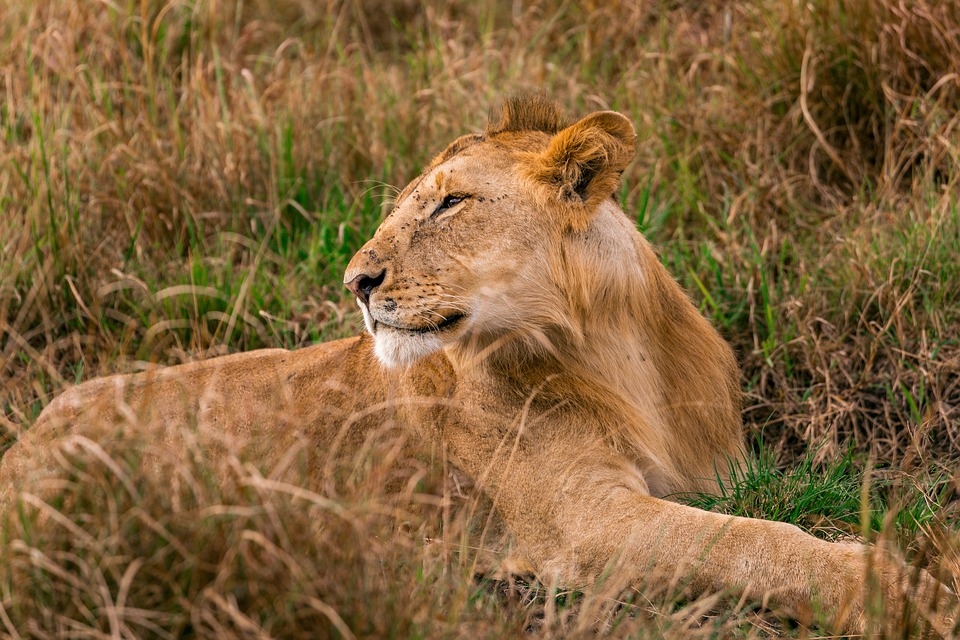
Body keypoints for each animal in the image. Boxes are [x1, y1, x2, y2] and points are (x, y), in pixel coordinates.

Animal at [1, 96, 955, 635]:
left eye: (450, 202)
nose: (355, 283)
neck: (614, 354)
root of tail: (22, 443)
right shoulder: (585, 527)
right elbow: (758, 543)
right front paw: (900, 591)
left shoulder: (710, 476)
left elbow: (756, 526)